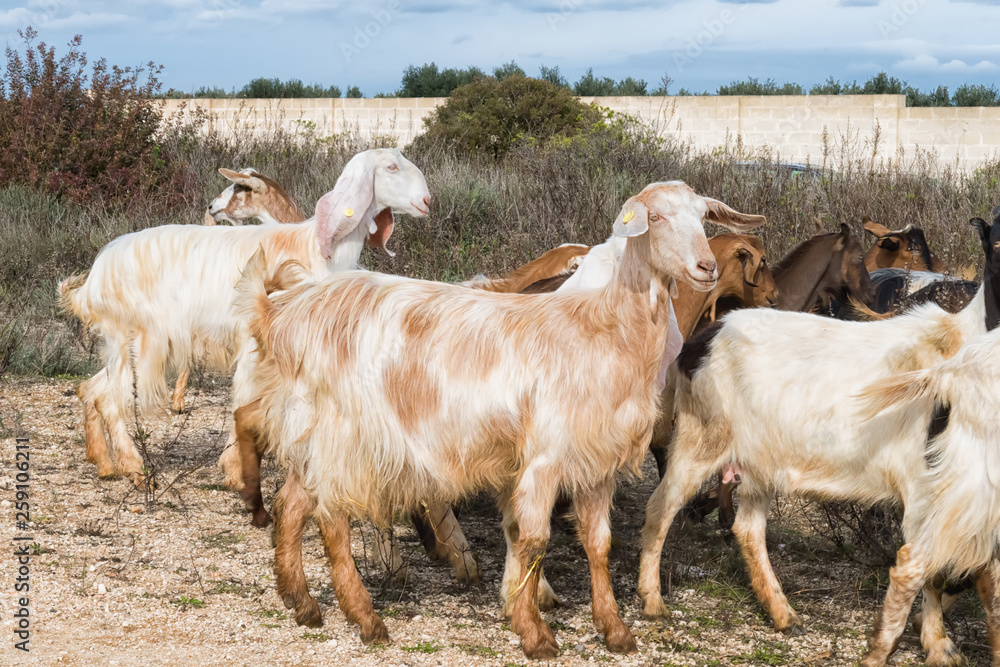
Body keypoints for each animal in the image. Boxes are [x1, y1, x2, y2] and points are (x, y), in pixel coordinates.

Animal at [59, 148, 428, 486]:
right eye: (392, 167)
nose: (426, 201)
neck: (312, 247)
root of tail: (93, 280)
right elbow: (249, 400)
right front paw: (238, 472)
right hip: (141, 339)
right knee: (110, 398)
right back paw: (134, 467)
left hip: (119, 343)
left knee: (92, 389)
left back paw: (105, 463)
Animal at [232, 181, 765, 658]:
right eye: (654, 217)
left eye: (704, 217)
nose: (705, 267)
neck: (604, 329)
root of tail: (281, 314)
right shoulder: (545, 457)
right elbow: (532, 541)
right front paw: (534, 633)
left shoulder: (597, 460)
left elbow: (598, 543)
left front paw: (615, 630)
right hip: (344, 435)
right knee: (331, 518)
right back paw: (365, 618)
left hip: (311, 433)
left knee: (292, 504)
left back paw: (302, 603)